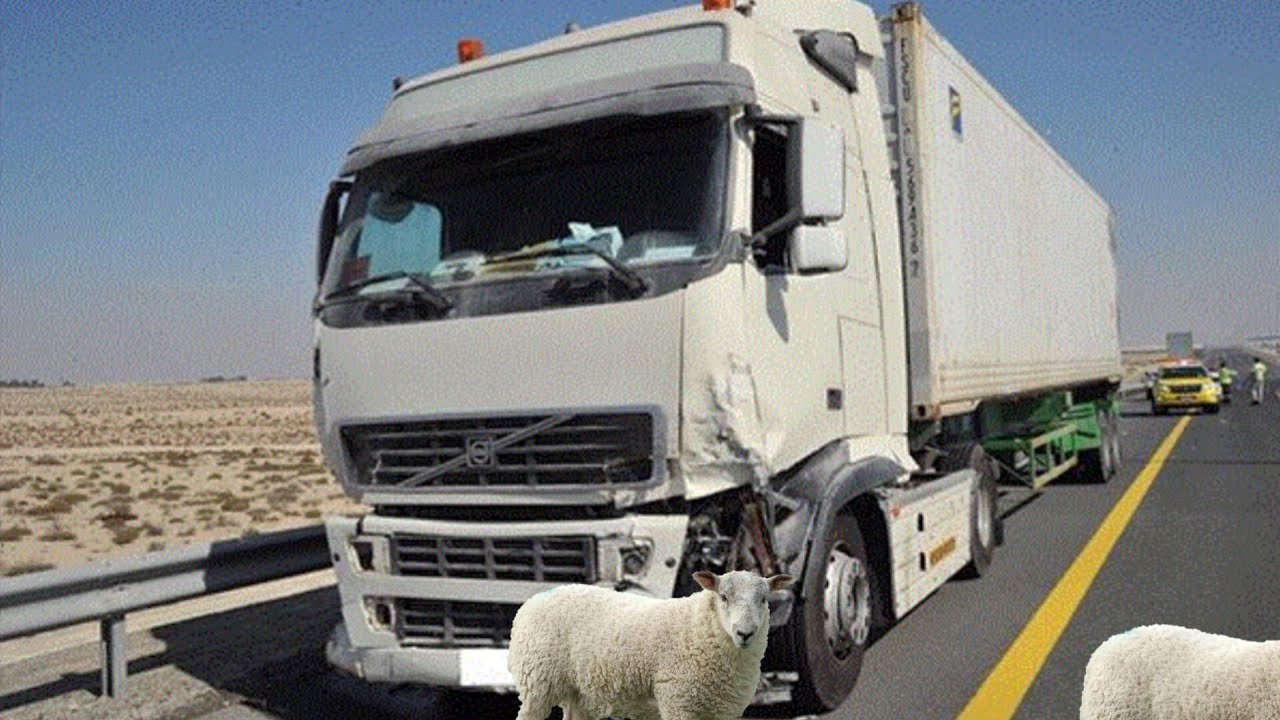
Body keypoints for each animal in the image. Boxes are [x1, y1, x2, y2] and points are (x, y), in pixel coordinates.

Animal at [508, 570, 795, 720]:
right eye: (723, 597)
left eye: (764, 600)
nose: (745, 633)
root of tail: (534, 599)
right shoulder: (678, 702)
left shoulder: (722, 712)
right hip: (537, 683)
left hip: (580, 693)